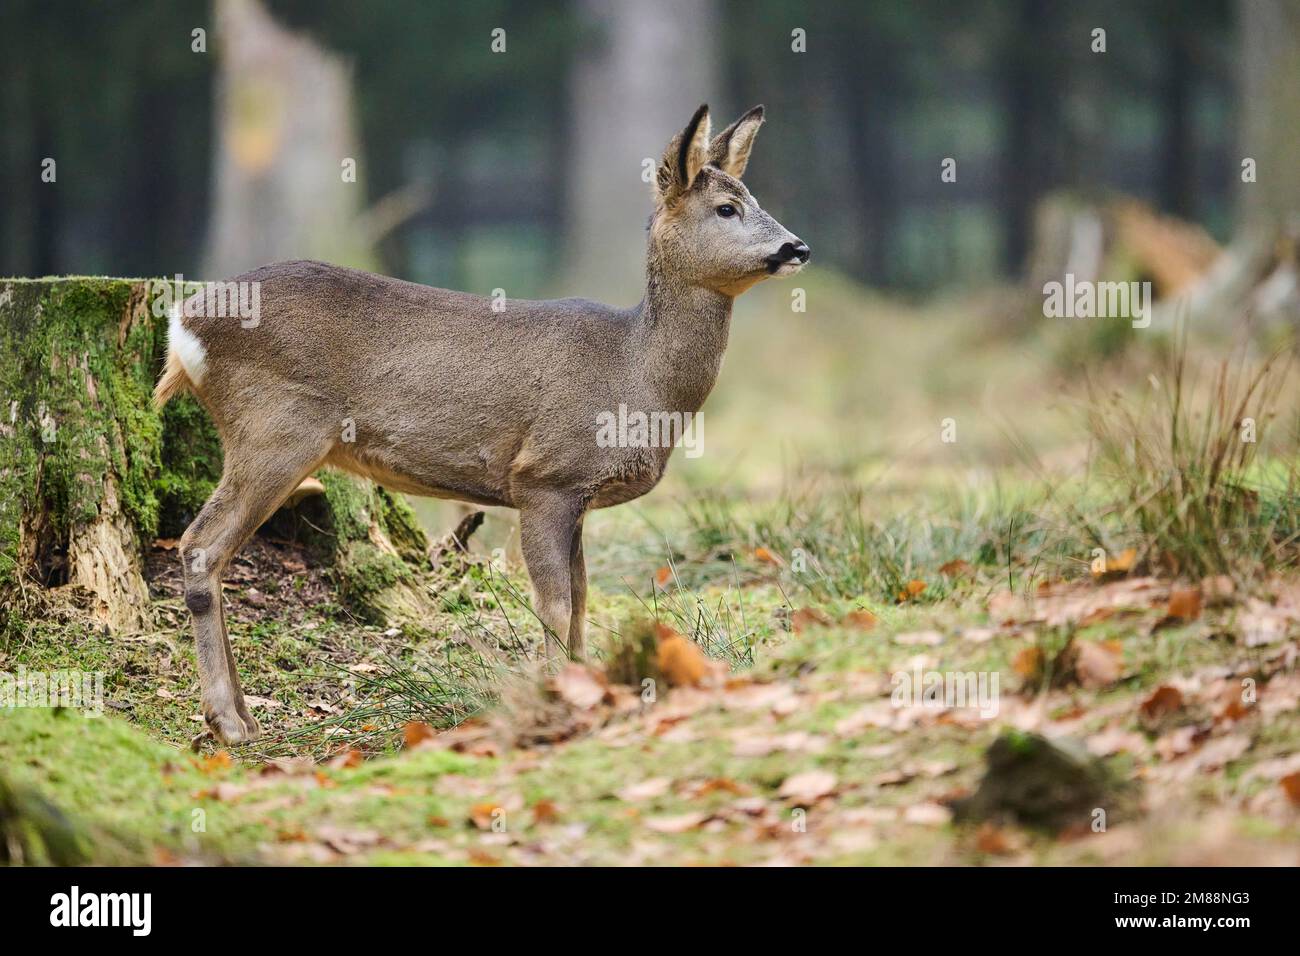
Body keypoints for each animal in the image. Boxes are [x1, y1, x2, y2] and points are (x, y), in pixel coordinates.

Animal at [153, 104, 809, 745]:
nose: (797, 247)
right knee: (201, 545)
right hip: (274, 429)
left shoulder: (576, 496)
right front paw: (563, 699)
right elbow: (555, 604)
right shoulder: (544, 477)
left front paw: (588, 685)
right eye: (726, 207)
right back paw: (229, 722)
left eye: (752, 196)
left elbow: (582, 600)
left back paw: (240, 714)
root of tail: (184, 325)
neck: (633, 373)